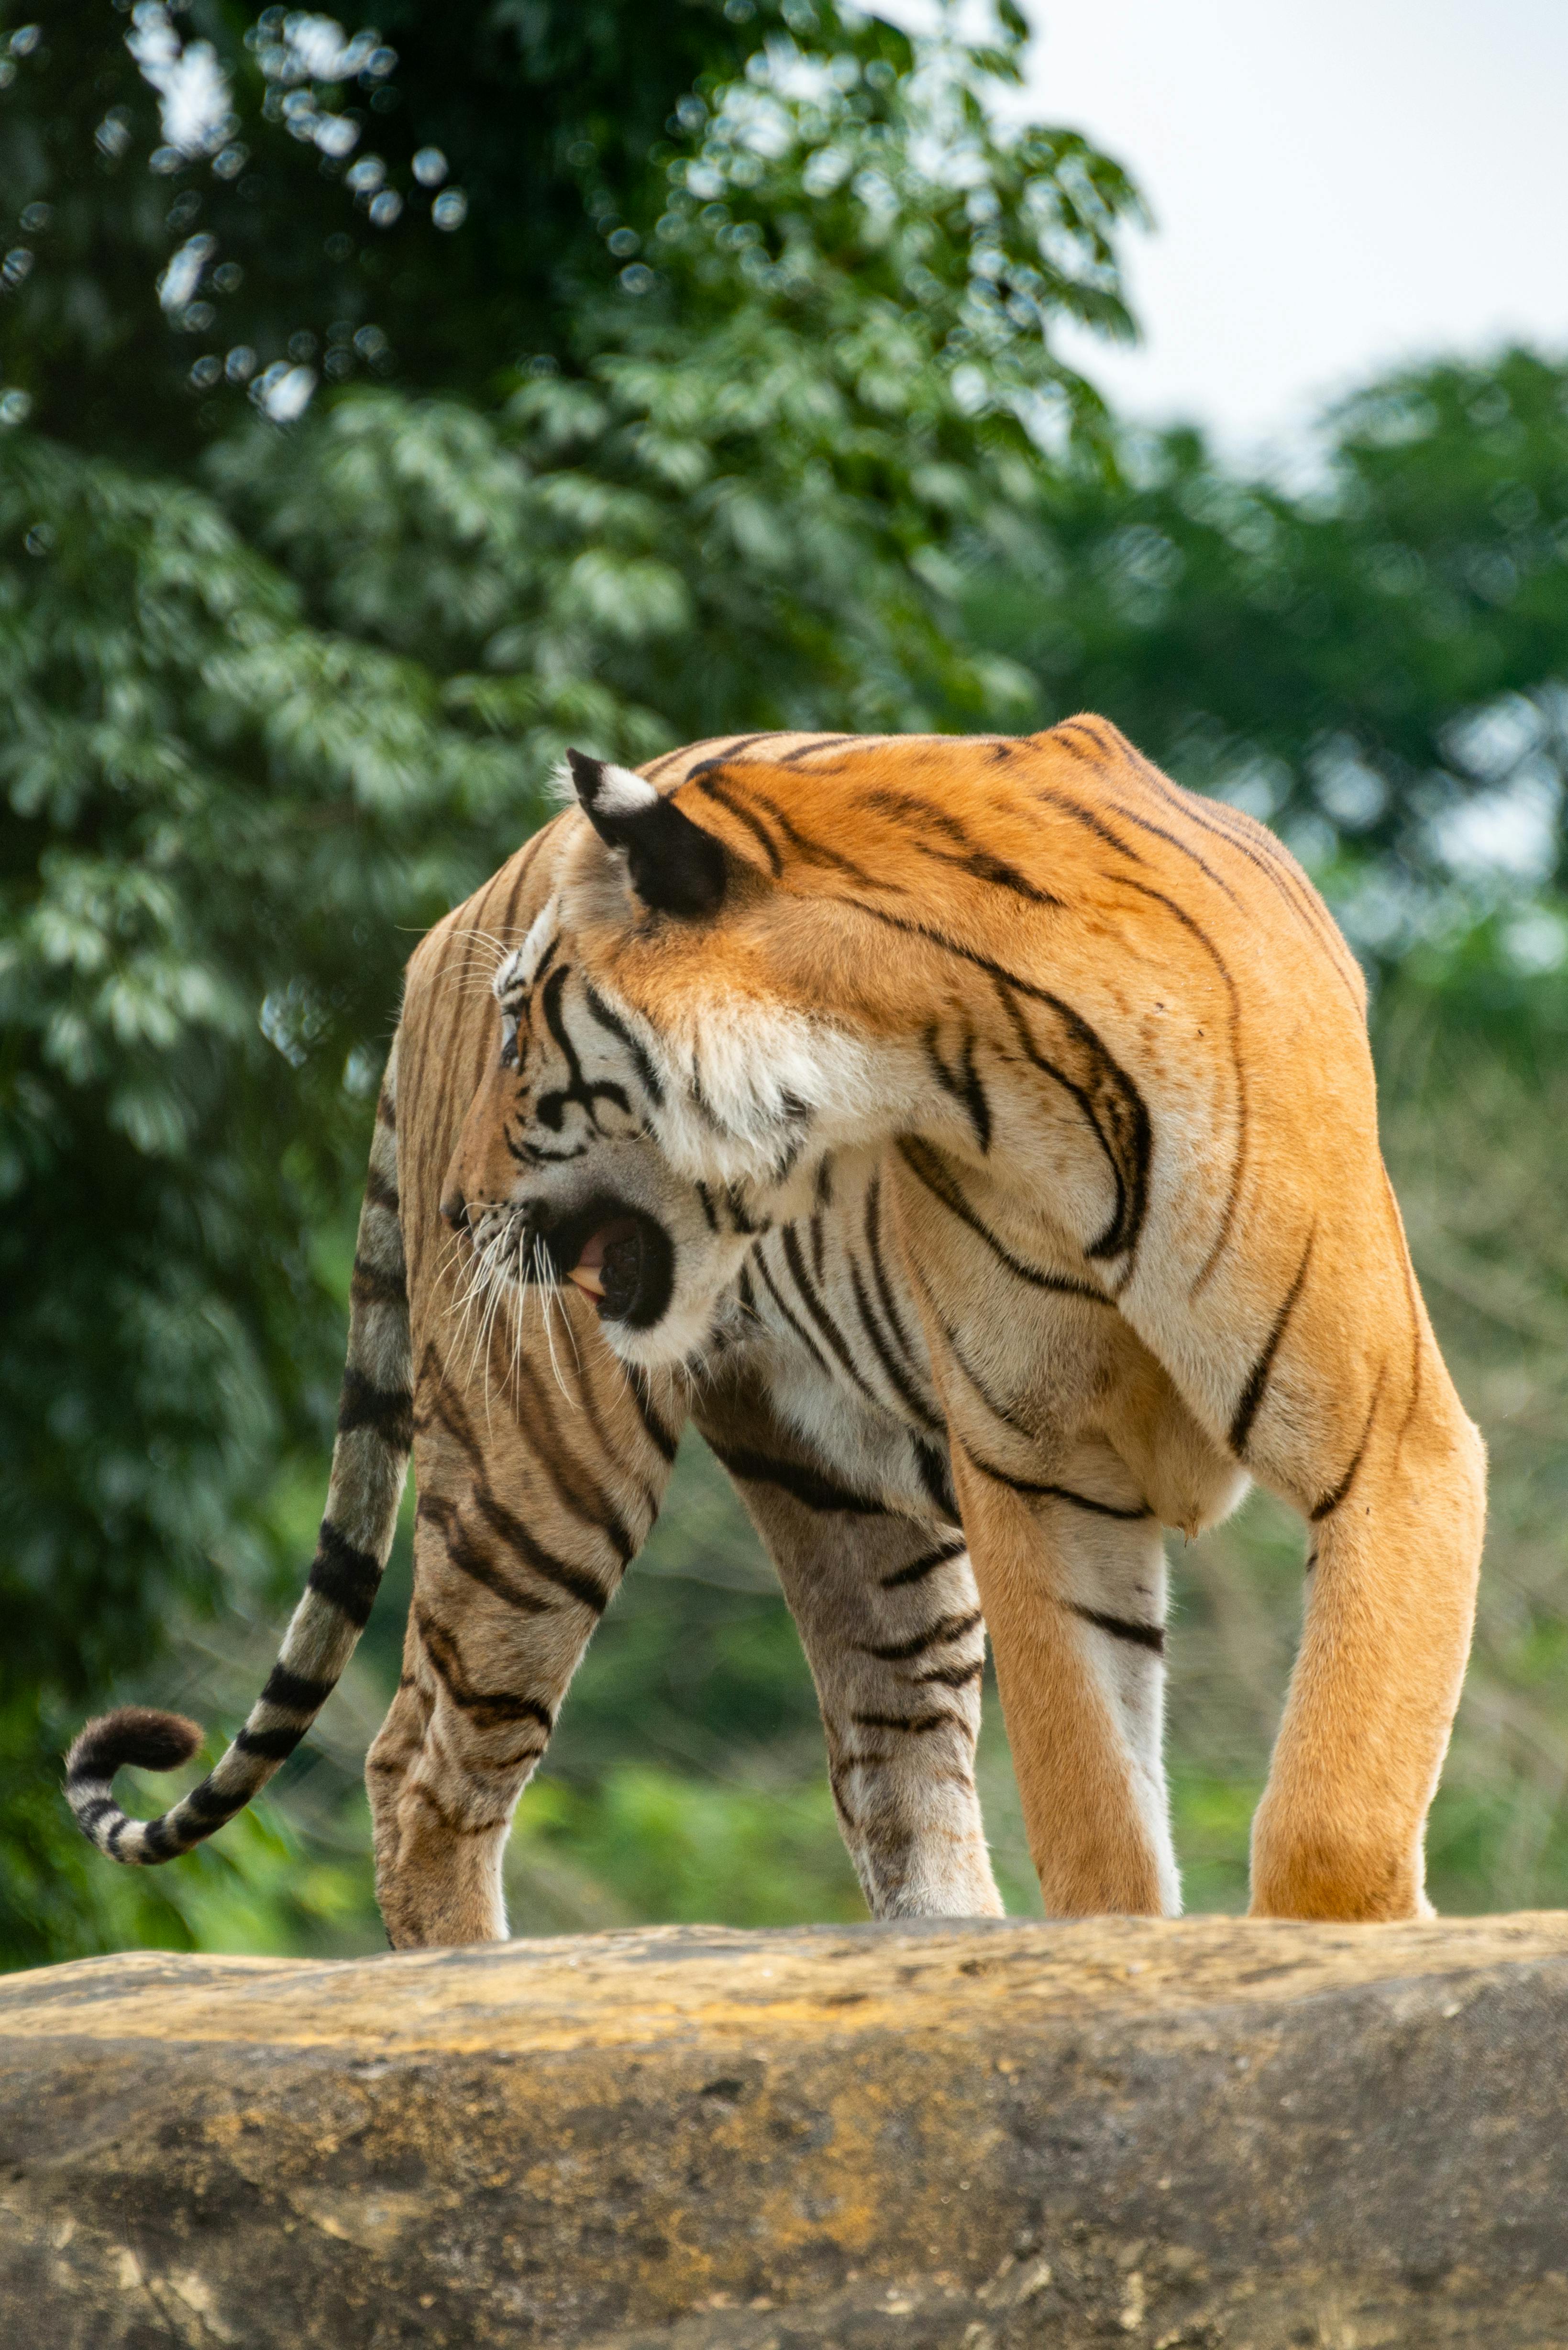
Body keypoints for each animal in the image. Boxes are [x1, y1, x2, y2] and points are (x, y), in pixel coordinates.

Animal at [68, 719, 1486, 1943]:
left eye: (525, 1021)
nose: (460, 1209)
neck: (970, 1055)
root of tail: (449, 922)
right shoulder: (1039, 1477)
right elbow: (1097, 1828)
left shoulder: (1384, 1441)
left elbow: (1331, 1807)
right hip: (537, 1477)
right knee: (422, 1773)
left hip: (859, 1521)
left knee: (887, 1767)